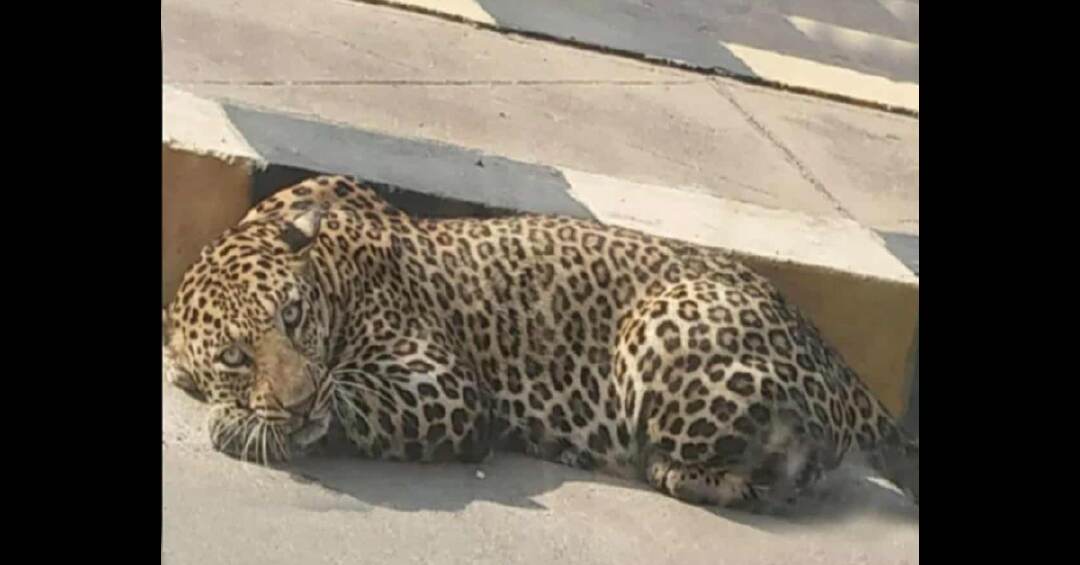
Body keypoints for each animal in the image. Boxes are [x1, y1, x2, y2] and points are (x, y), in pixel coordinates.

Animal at [162, 174, 918, 511]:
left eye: (293, 315)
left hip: (660, 323)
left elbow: (351, 400)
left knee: (776, 478)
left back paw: (678, 472)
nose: (297, 400)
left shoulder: (443, 388)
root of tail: (841, 365)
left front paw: (244, 425)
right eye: (233, 356)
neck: (332, 272)